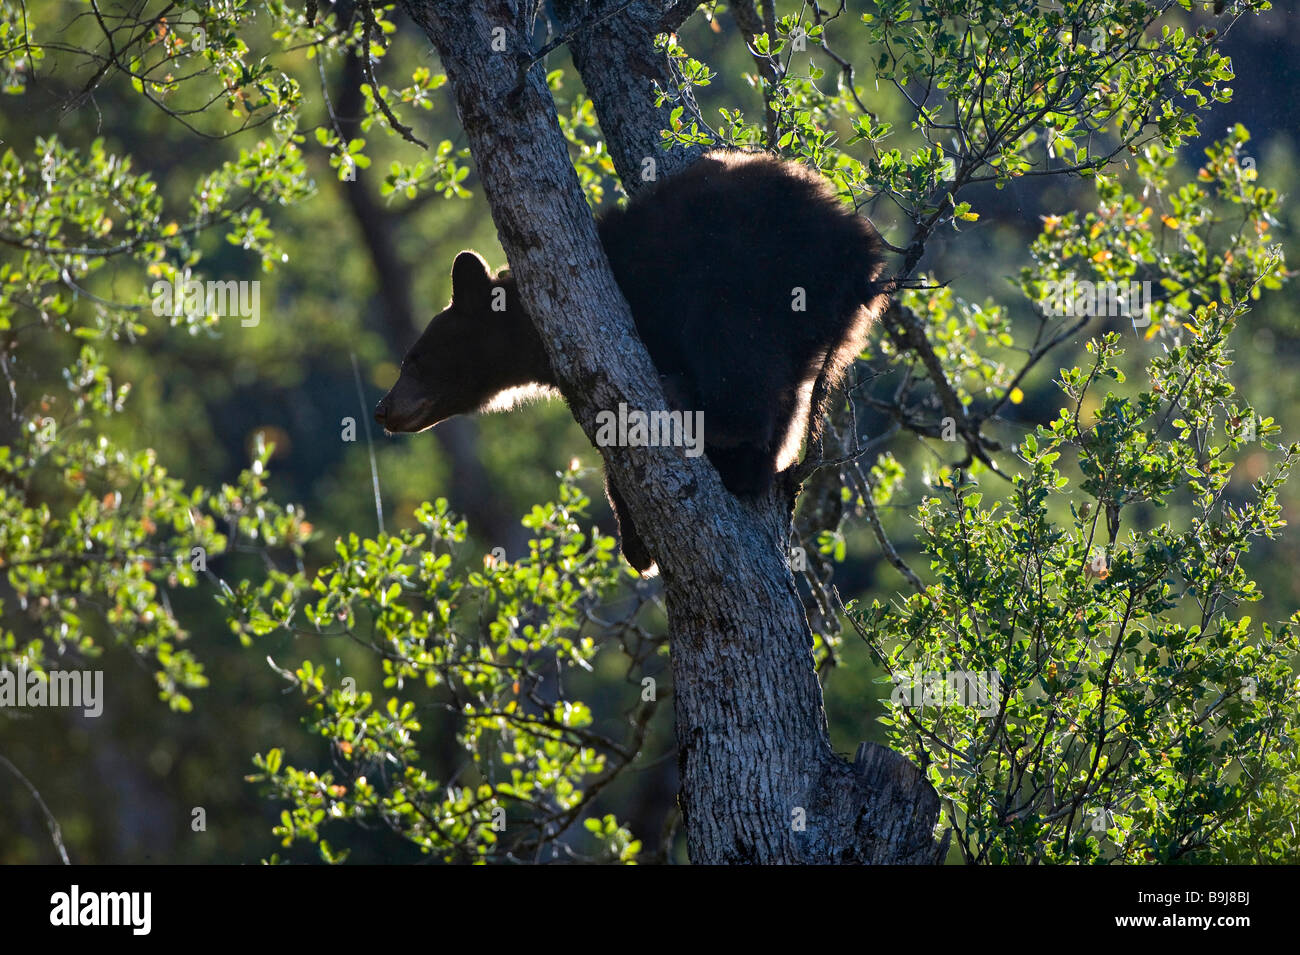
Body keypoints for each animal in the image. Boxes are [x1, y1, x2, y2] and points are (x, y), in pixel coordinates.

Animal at [375, 149, 891, 573]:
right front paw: (636, 538)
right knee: (781, 401)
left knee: (731, 348)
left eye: (414, 359)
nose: (383, 408)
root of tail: (861, 251)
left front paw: (635, 539)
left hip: (760, 276)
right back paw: (747, 469)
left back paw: (698, 410)